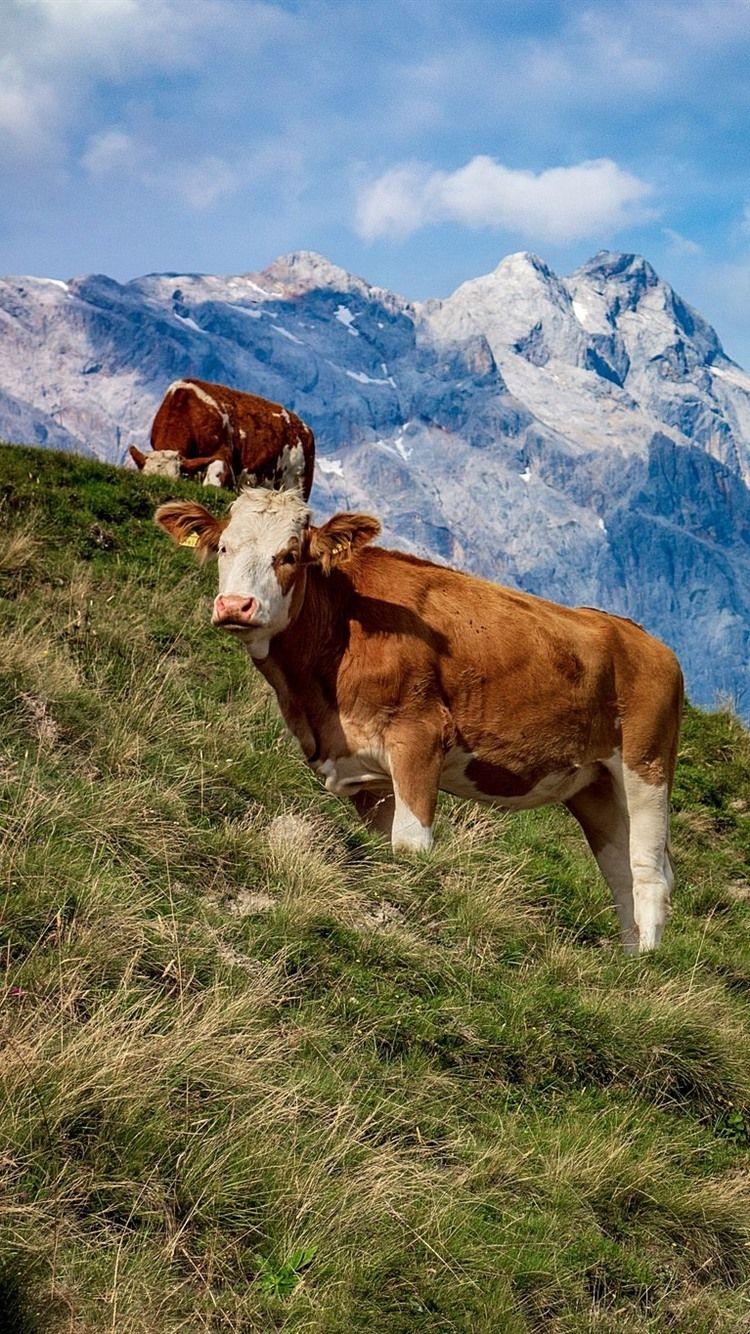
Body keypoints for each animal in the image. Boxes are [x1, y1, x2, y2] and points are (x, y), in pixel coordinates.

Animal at [155, 490, 684, 955]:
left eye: (288, 555)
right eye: (224, 547)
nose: (235, 606)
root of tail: (646, 641)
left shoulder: (420, 737)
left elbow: (411, 846)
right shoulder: (364, 772)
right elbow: (388, 847)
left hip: (645, 769)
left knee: (648, 872)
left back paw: (645, 969)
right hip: (596, 788)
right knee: (621, 871)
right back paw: (626, 960)